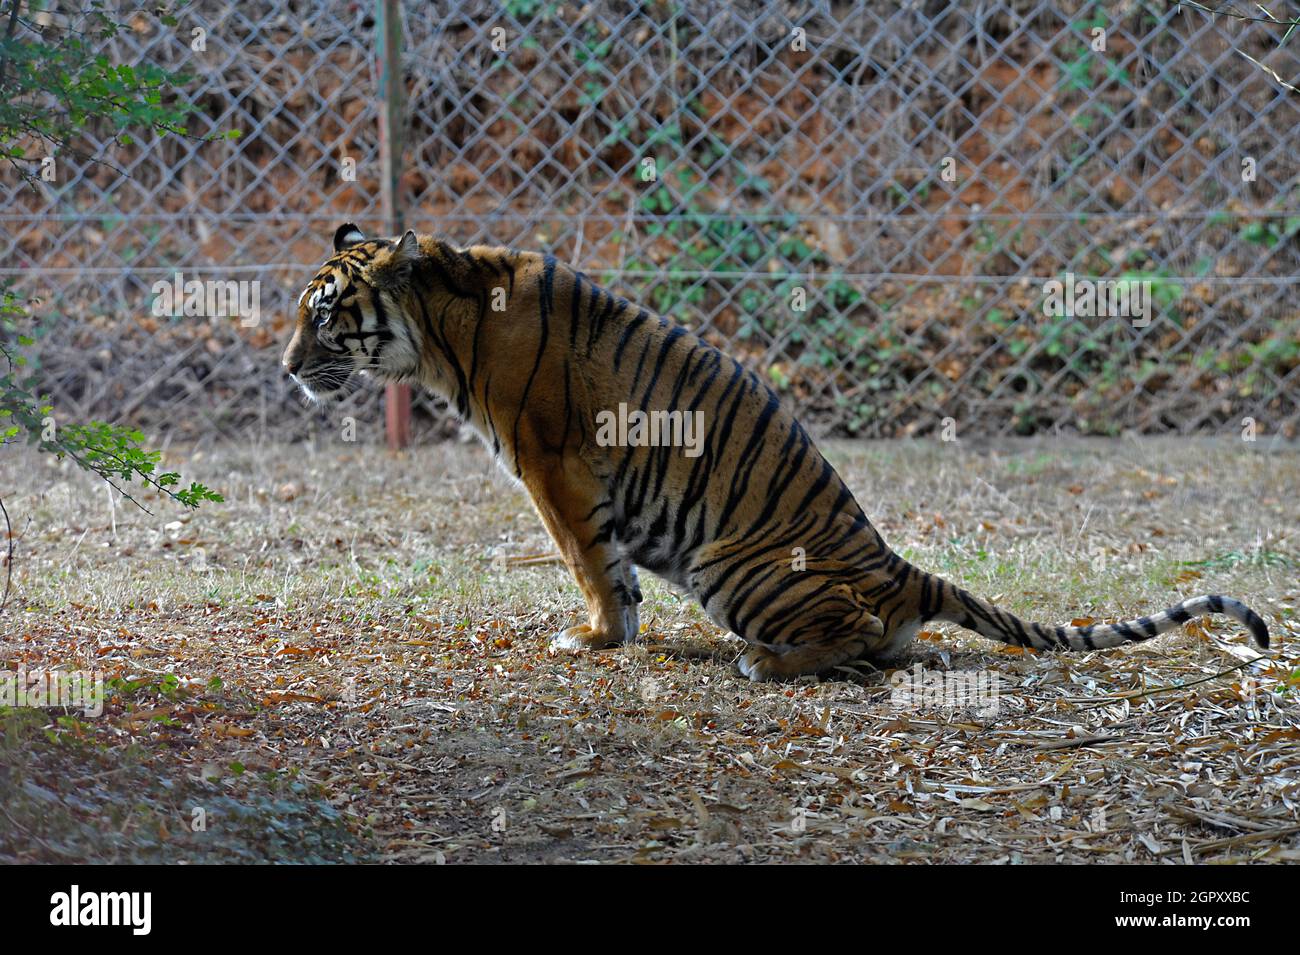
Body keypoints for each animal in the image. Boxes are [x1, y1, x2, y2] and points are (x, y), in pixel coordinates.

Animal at [281, 223, 1271, 680]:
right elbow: (612, 567)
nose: (287, 367)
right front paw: (616, 631)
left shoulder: (553, 466)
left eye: (325, 316)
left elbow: (591, 562)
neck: (440, 331)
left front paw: (597, 635)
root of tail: (902, 568)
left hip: (727, 562)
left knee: (857, 631)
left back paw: (767, 660)